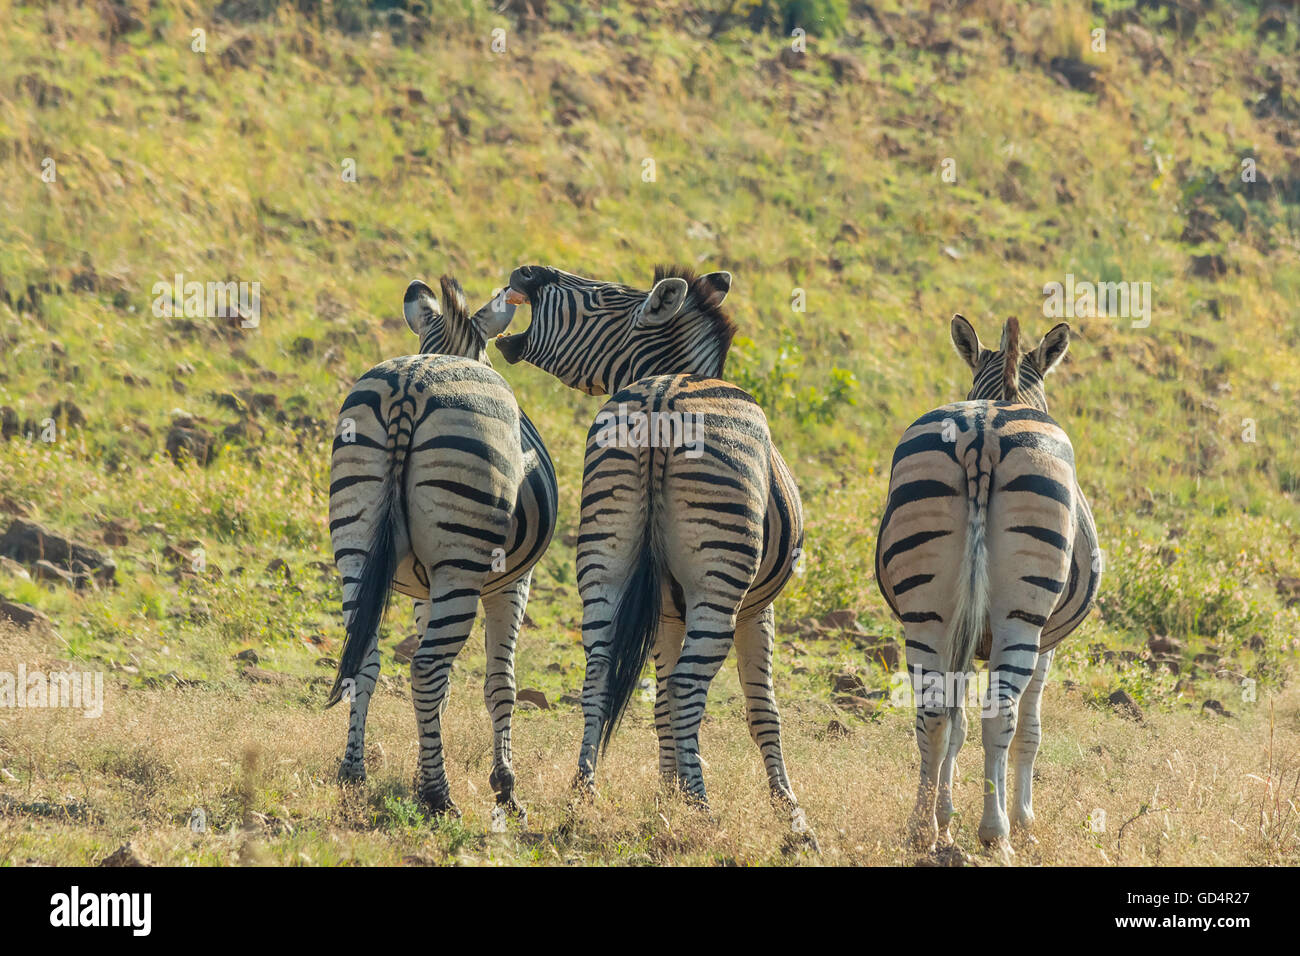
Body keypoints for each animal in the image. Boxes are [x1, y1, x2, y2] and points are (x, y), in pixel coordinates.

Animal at [326, 275, 557, 821]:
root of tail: (412, 383)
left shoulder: (420, 590)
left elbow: (448, 689)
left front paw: (416, 773)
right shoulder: (513, 583)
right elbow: (500, 684)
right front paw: (505, 787)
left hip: (355, 549)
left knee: (364, 658)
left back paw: (354, 772)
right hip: (460, 566)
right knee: (427, 668)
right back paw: (439, 797)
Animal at [497, 264, 812, 837]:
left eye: (602, 294)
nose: (524, 272)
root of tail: (664, 393)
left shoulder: (665, 609)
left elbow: (661, 699)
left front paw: (668, 793)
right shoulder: (758, 608)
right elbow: (762, 709)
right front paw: (789, 813)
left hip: (603, 555)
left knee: (600, 672)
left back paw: (584, 791)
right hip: (718, 582)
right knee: (688, 686)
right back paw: (703, 806)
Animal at [874, 314, 1099, 854]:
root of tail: (983, 431)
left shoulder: (963, 635)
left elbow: (953, 727)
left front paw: (944, 817)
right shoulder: (1047, 644)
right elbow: (1029, 731)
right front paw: (1025, 821)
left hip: (926, 612)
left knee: (933, 713)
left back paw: (921, 830)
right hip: (1022, 619)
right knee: (1000, 717)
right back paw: (996, 833)